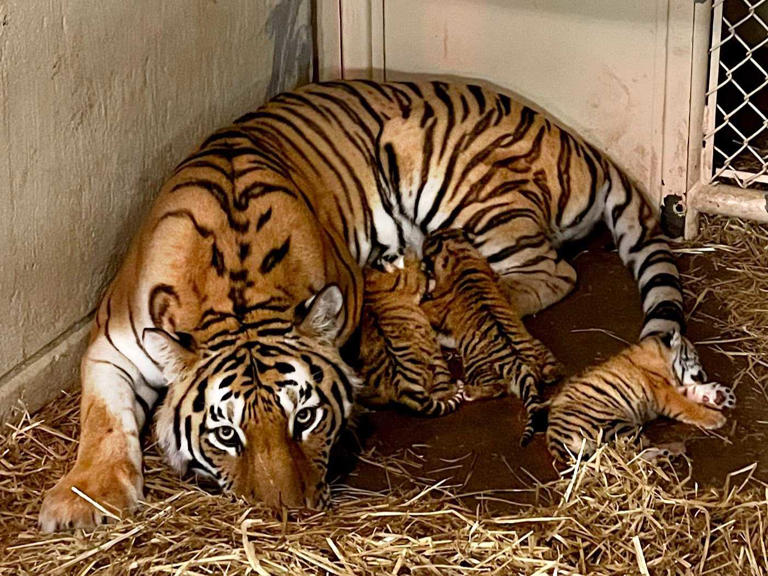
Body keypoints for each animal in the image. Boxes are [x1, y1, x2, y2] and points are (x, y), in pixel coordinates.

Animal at [420, 228, 562, 446]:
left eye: (430, 239)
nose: (430, 232)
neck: (456, 253)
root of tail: (522, 367)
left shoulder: (438, 305)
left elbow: (428, 307)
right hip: (538, 347)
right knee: (551, 371)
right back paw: (550, 373)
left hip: (475, 368)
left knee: (497, 388)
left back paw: (468, 391)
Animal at [546, 330, 736, 463]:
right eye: (695, 357)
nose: (704, 375)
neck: (660, 355)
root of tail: (554, 443)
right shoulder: (664, 392)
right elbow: (687, 406)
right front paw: (716, 418)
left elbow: (691, 392)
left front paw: (718, 396)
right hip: (610, 421)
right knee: (635, 452)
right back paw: (674, 449)